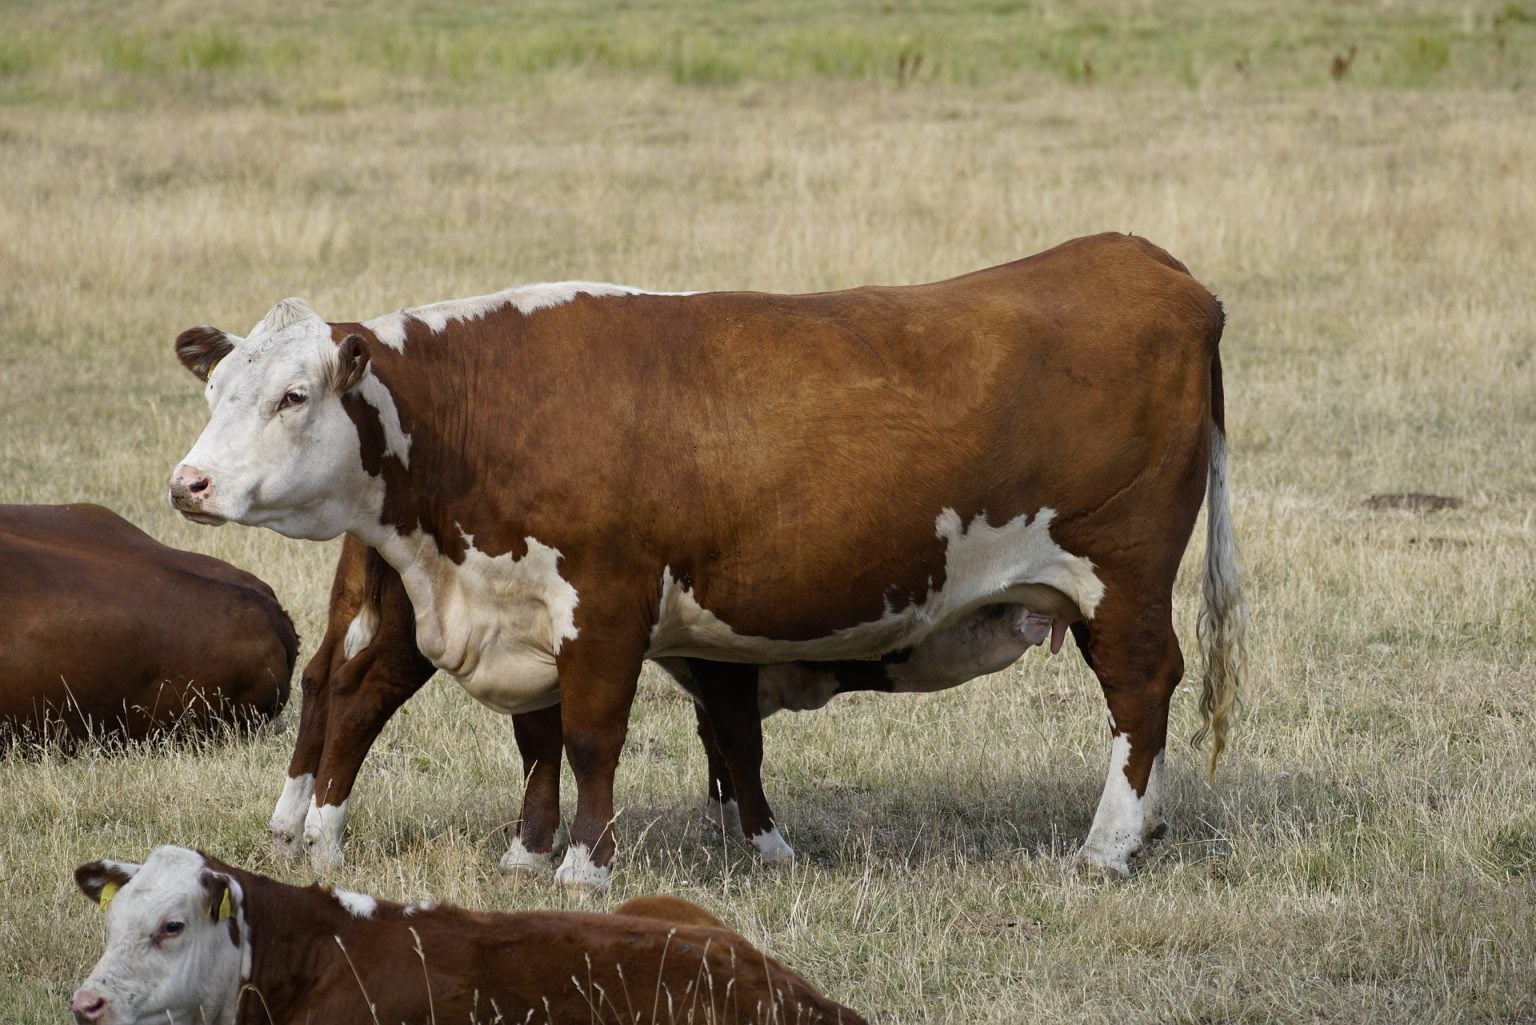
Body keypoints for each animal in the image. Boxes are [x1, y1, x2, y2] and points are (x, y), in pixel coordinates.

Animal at [169, 232, 1246, 887]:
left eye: (294, 395)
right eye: (217, 388)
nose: (189, 483)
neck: (480, 416)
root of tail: (1143, 260)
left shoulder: (605, 599)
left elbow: (592, 735)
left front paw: (585, 869)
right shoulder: (509, 609)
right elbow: (540, 738)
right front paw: (523, 857)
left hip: (1123, 570)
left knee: (1142, 687)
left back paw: (1108, 844)